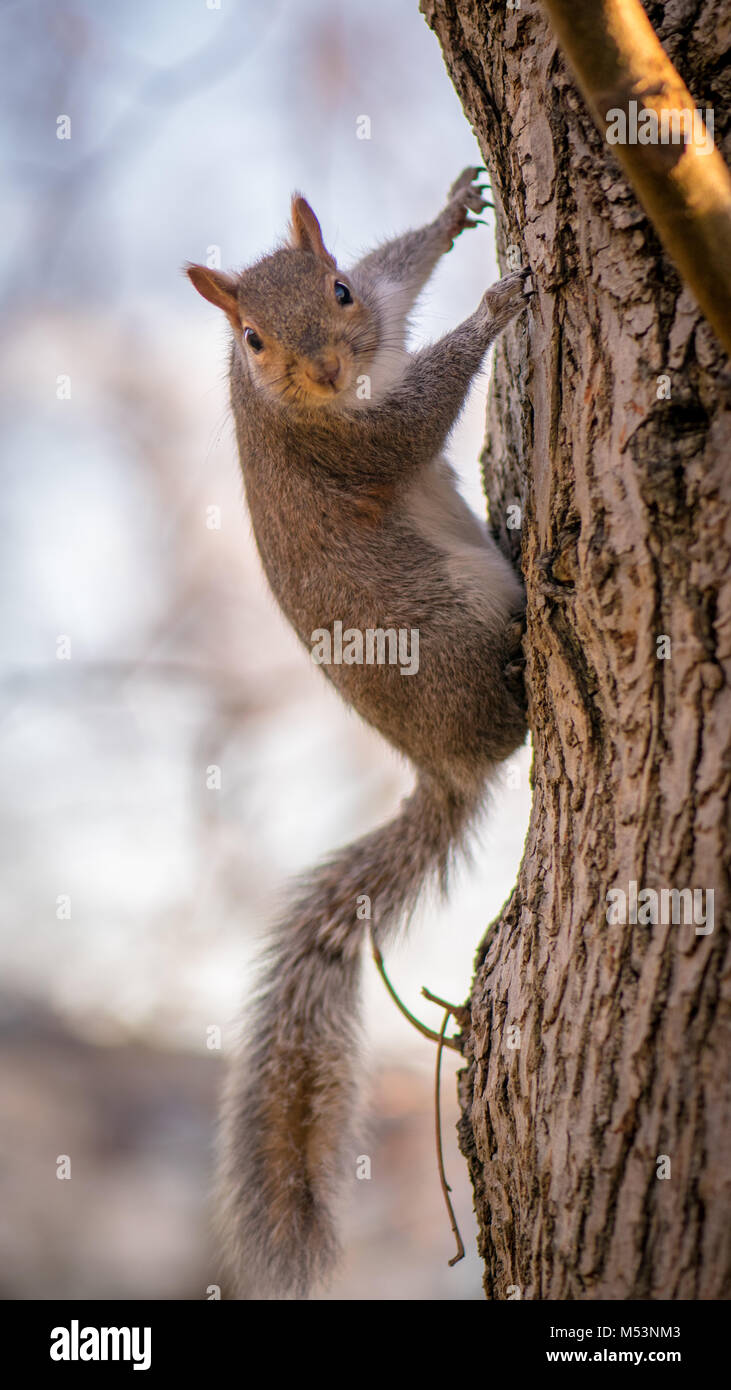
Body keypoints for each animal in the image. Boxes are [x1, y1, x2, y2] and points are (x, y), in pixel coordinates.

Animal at [186, 167, 532, 1299]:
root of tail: (438, 766)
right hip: (446, 640)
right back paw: (526, 668)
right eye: (250, 338)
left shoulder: (378, 312)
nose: (327, 370)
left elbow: (401, 272)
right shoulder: (340, 440)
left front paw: (452, 213)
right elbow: (413, 421)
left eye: (334, 288)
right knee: (504, 724)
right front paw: (492, 309)